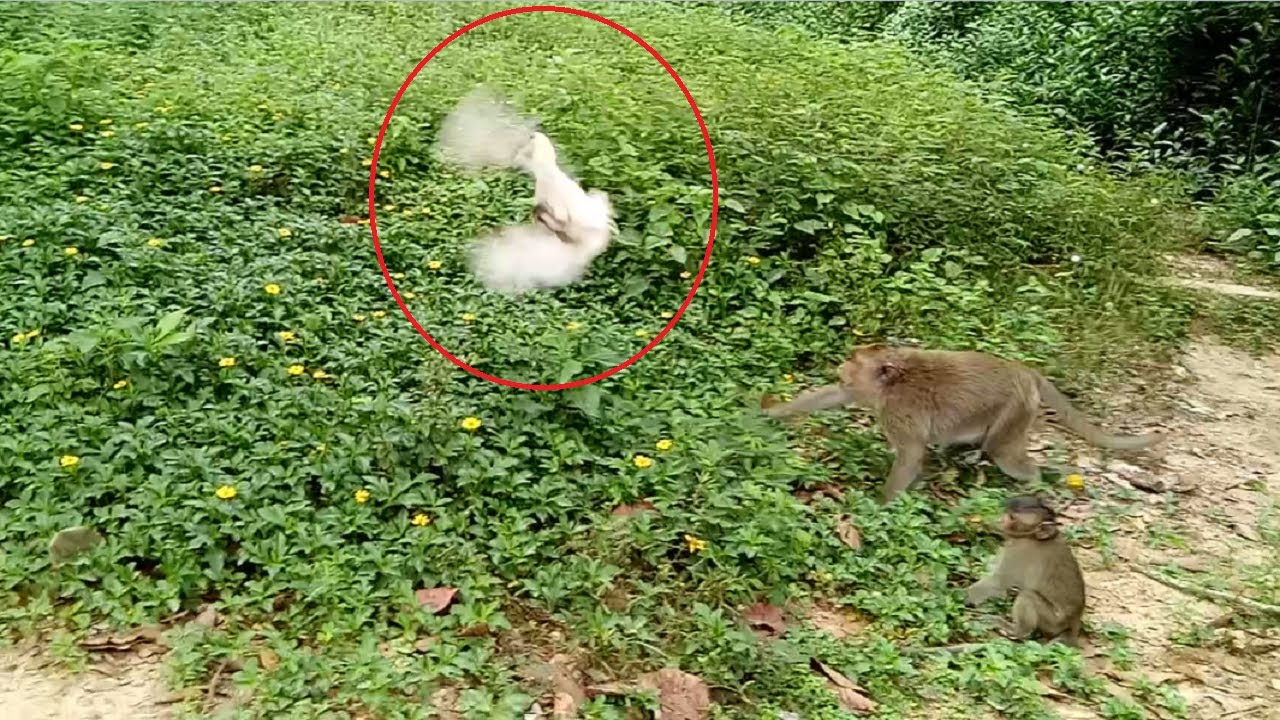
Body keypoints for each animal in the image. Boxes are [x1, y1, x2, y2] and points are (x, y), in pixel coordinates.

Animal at [763, 344, 1161, 502]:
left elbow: (910, 456)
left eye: (852, 359)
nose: (840, 366)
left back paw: (1033, 485)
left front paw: (879, 507)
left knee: (1005, 454)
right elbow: (831, 397)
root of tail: (1026, 371)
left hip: (1014, 412)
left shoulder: (899, 412)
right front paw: (766, 412)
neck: (892, 383)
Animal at [964, 495, 1085, 646]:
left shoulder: (1019, 552)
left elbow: (998, 581)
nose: (1000, 520)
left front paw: (962, 597)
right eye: (1007, 512)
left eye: (1012, 517)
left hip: (1054, 622)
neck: (1031, 537)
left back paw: (1016, 631)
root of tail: (1075, 622)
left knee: (1027, 596)